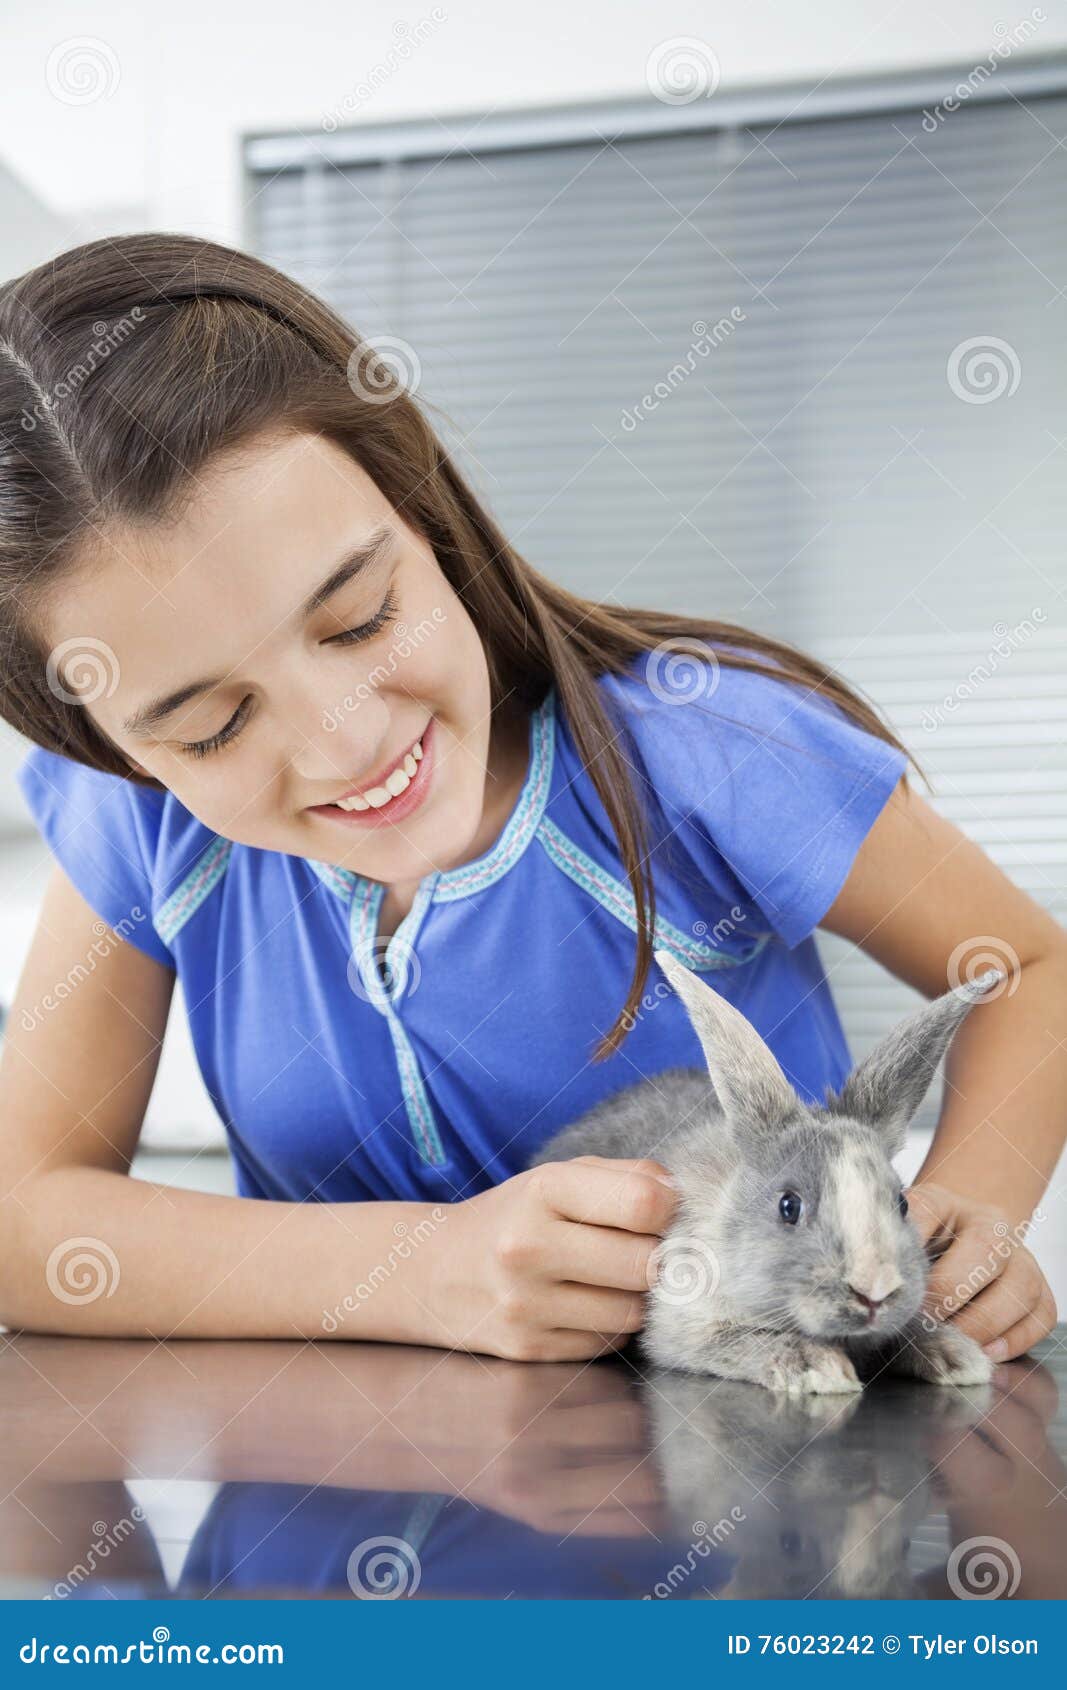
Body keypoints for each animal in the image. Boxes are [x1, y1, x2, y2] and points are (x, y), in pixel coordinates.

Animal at [528, 949, 1004, 1395]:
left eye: (902, 1204)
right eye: (788, 1207)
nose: (874, 1290)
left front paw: (956, 1357)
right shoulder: (687, 1328)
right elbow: (742, 1340)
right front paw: (820, 1368)